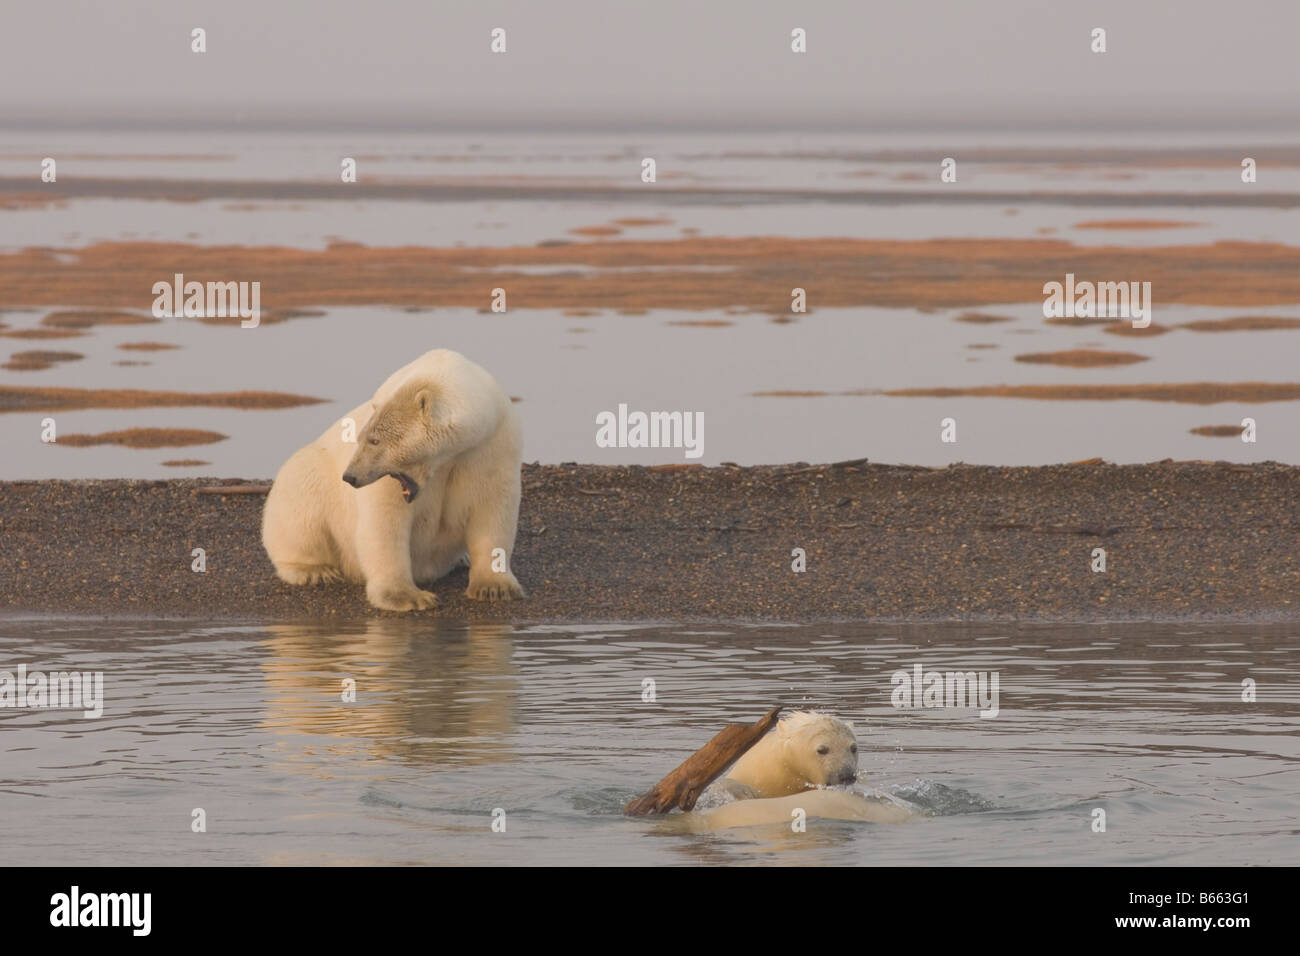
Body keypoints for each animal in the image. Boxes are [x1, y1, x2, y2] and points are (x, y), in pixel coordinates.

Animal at [261, 348, 523, 612]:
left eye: (374, 440)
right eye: (361, 438)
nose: (350, 476)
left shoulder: (490, 446)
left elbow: (492, 509)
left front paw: (494, 588)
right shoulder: (389, 481)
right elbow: (385, 520)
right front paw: (409, 597)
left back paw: (462, 558)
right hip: (311, 475)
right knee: (301, 506)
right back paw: (313, 570)